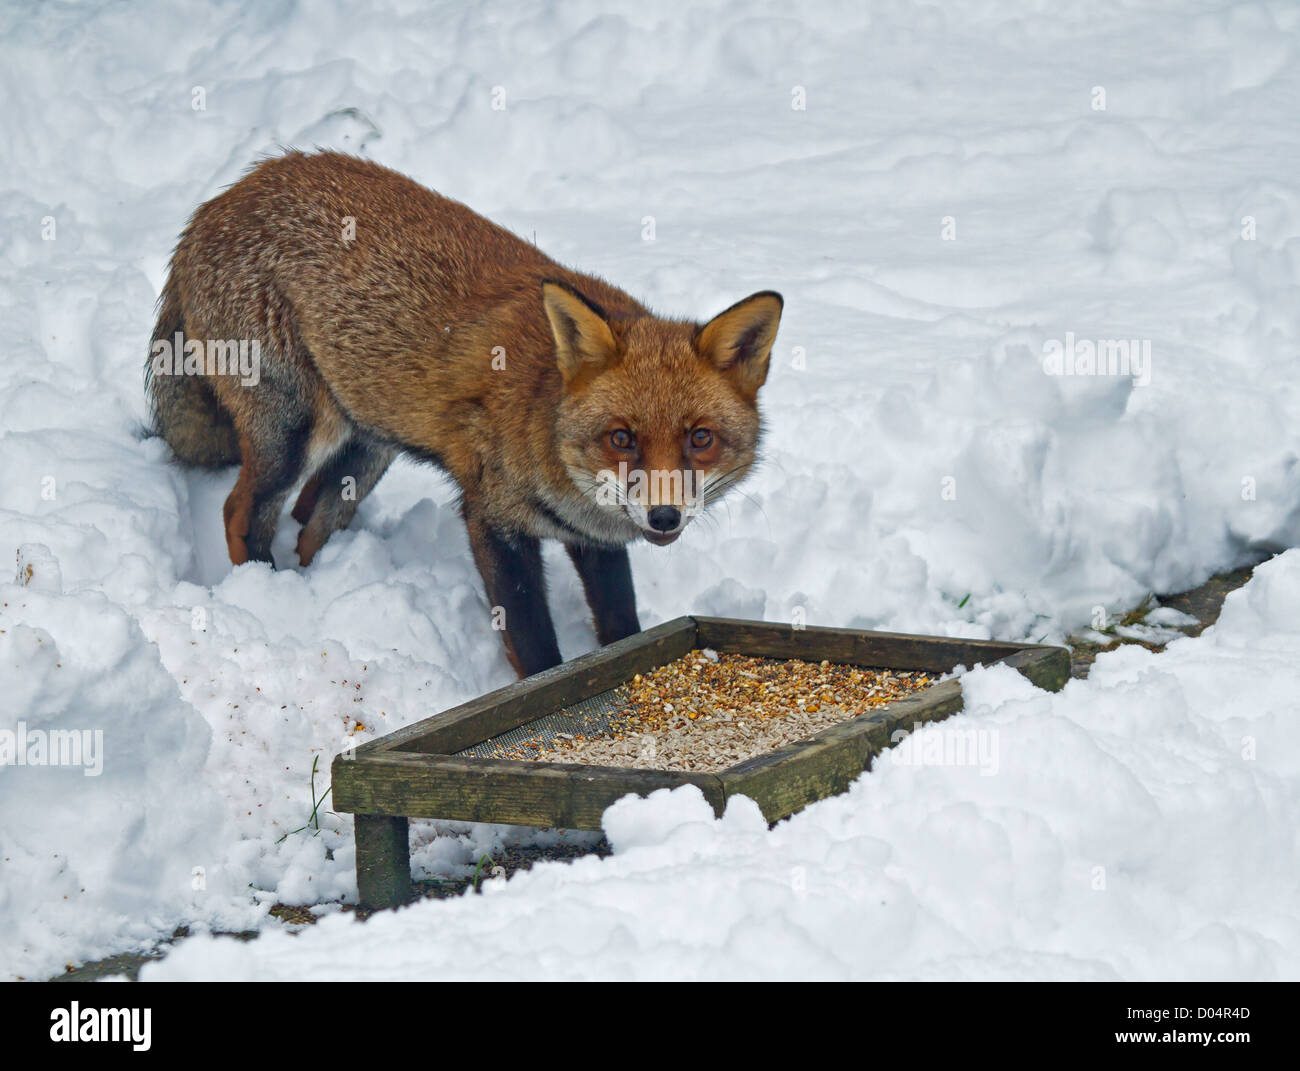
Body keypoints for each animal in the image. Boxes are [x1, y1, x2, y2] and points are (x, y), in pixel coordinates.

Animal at [146, 151, 782, 677]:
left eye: (700, 438)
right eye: (622, 438)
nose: (664, 517)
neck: (542, 418)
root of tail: (220, 199)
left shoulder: (593, 539)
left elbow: (621, 627)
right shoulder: (491, 518)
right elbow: (534, 645)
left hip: (368, 445)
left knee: (311, 518)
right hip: (298, 430)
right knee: (241, 512)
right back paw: (267, 598)